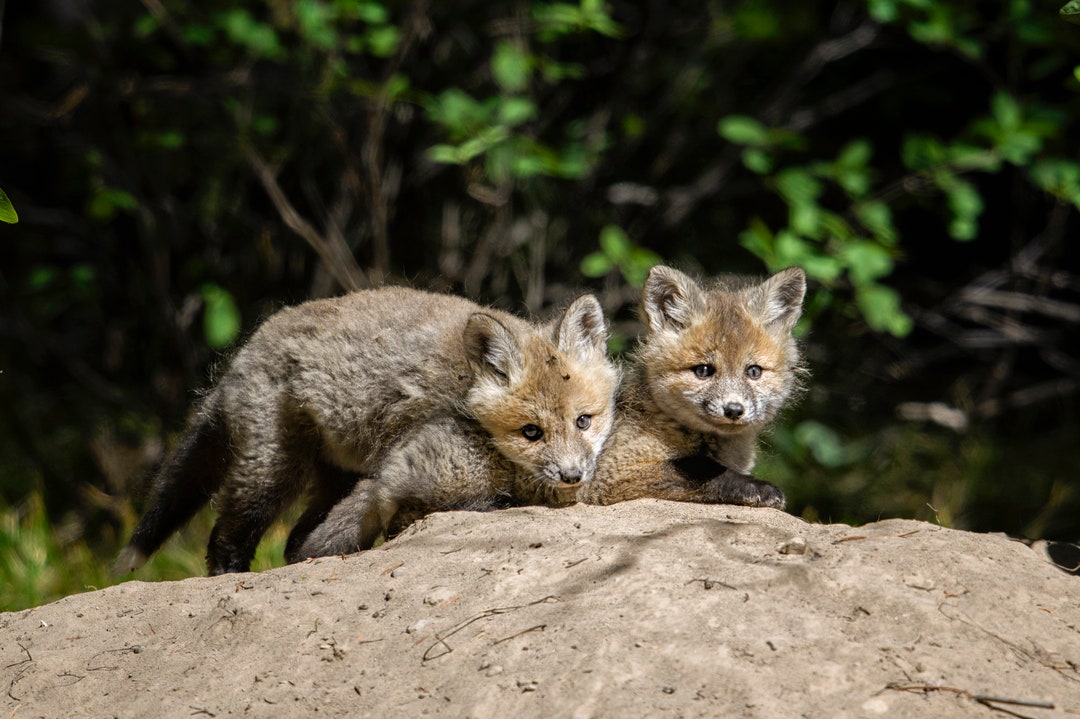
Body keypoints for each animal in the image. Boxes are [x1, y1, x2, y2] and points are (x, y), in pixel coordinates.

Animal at [113, 286, 620, 576]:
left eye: (584, 421)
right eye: (531, 432)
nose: (573, 477)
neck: (461, 383)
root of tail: (245, 351)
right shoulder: (412, 449)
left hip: (334, 475)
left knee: (298, 540)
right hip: (271, 471)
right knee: (228, 534)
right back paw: (229, 576)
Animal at [576, 264, 807, 508]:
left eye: (753, 371)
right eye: (703, 370)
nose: (734, 410)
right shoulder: (608, 476)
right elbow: (698, 469)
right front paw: (756, 487)